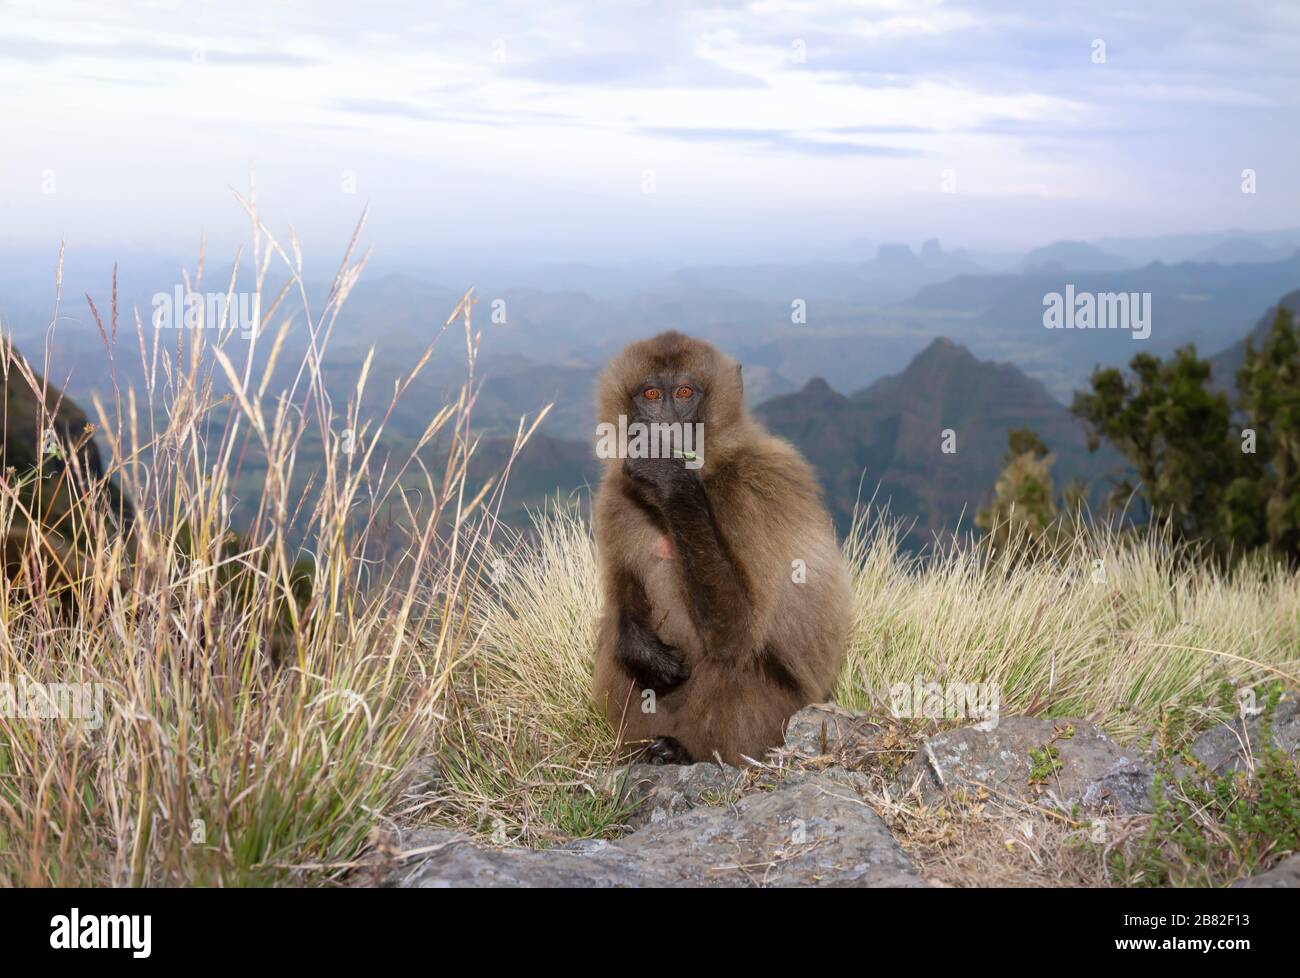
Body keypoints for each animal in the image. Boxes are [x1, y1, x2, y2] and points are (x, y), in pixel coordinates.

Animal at [592, 331, 851, 766]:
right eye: (650, 393)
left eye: (684, 393)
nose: (666, 427)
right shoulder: (616, 495)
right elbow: (623, 586)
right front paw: (639, 647)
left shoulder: (756, 491)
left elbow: (740, 630)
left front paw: (669, 476)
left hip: (781, 715)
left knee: (733, 663)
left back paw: (687, 752)